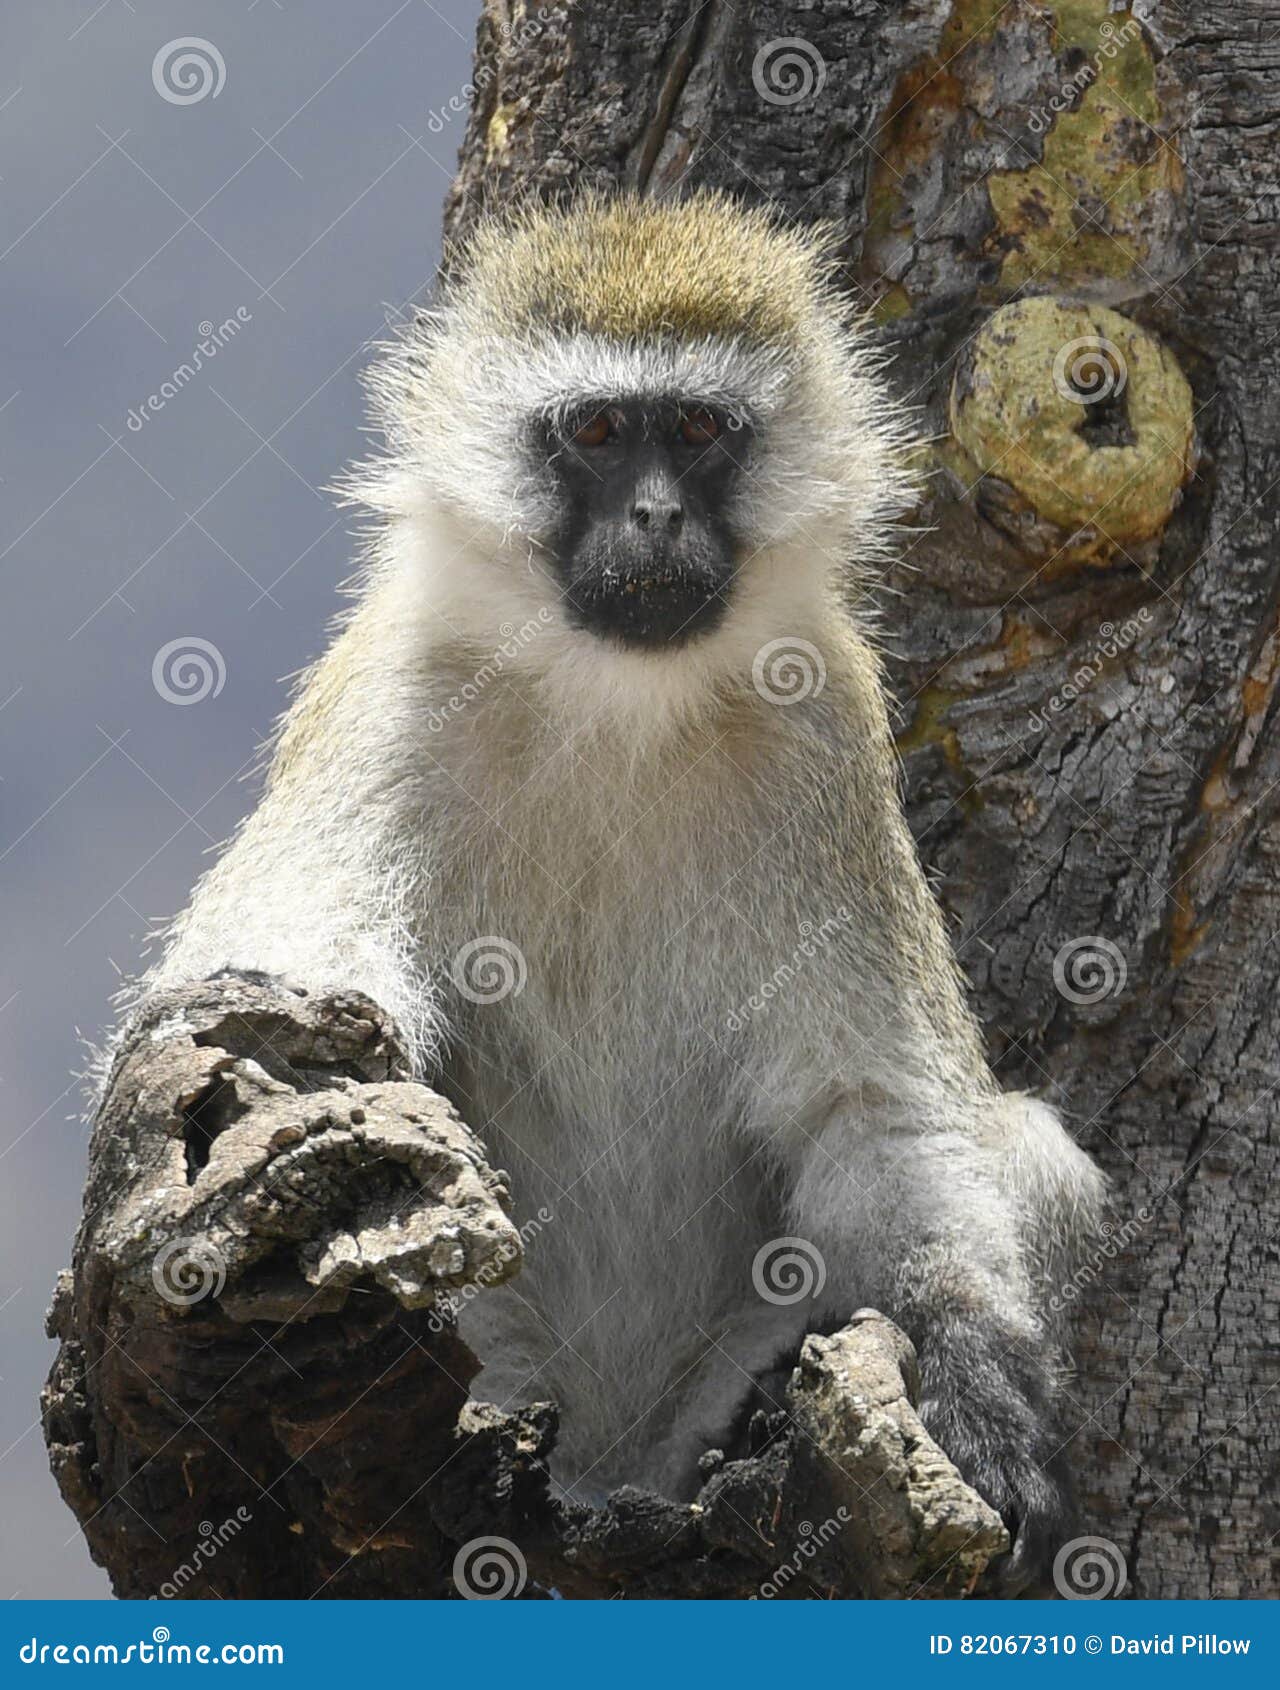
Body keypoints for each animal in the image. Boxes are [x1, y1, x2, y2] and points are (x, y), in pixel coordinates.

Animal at [136, 192, 1105, 1591]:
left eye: (696, 432)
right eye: (595, 433)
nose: (651, 518)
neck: (616, 703)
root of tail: (606, 1474)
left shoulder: (821, 734)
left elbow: (874, 1107)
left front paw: (976, 1379)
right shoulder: (395, 688)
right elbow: (256, 987)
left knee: (1022, 1147)